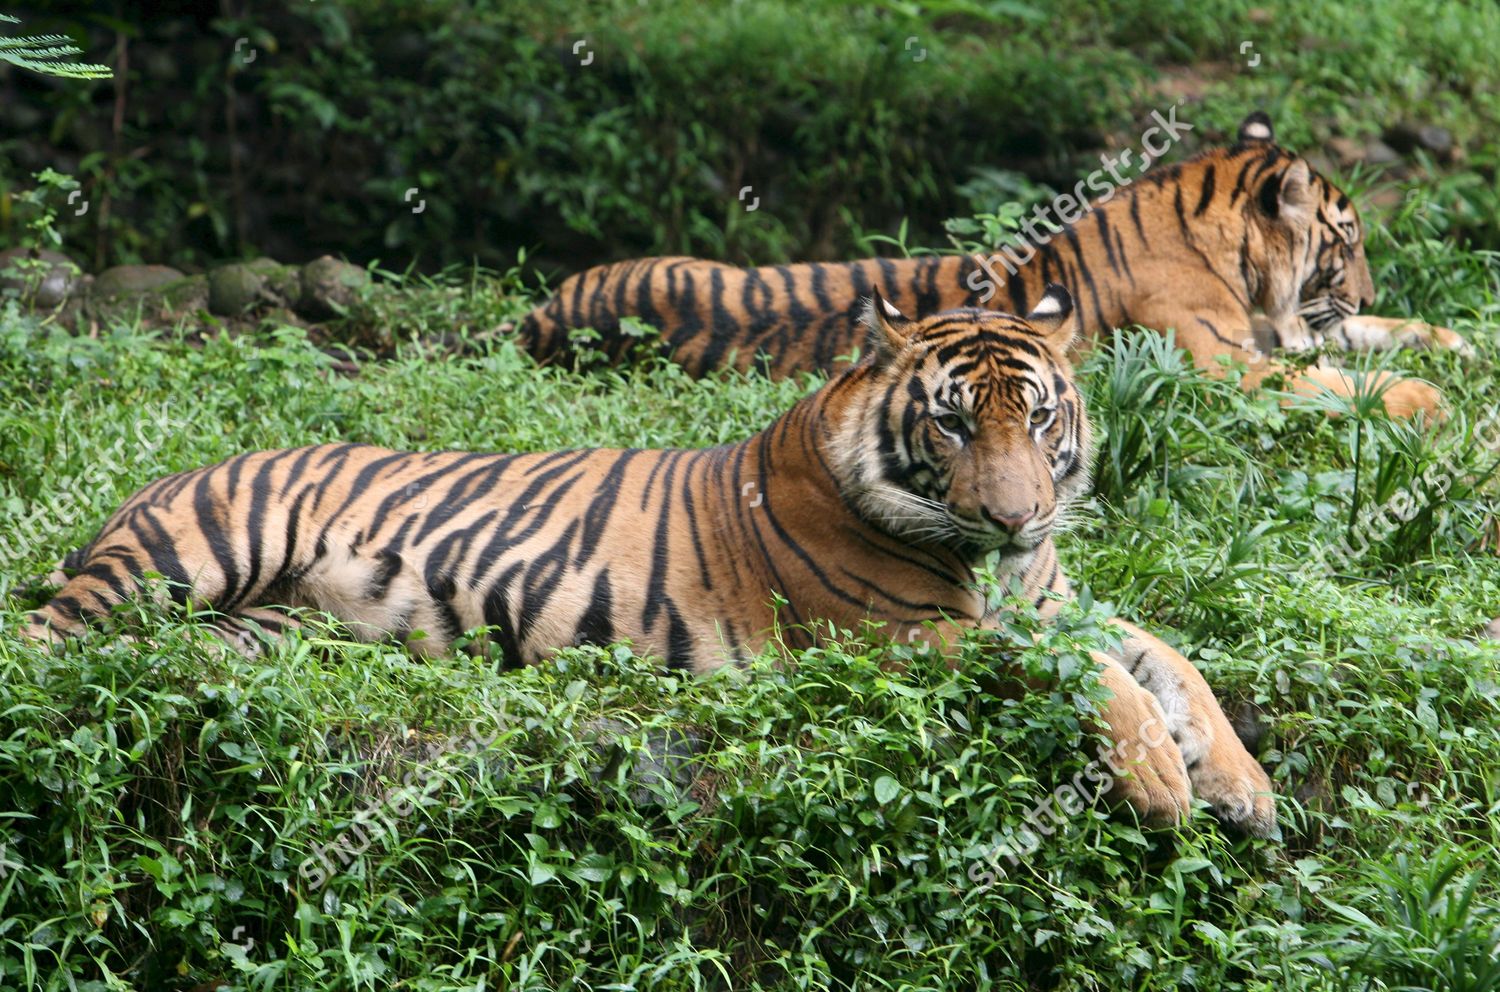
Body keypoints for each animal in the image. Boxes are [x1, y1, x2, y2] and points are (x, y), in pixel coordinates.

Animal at [24, 286, 1274, 835]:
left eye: (1038, 417)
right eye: (955, 423)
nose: (1017, 517)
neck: (1005, 574)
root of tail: (169, 474)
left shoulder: (1059, 603)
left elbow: (1170, 659)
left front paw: (1244, 787)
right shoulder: (910, 633)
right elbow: (1099, 678)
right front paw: (1164, 784)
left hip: (271, 624)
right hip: (191, 549)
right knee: (44, 637)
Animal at [517, 112, 1471, 420]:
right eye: (1348, 243)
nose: (1369, 282)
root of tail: (539, 317)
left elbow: (1363, 340)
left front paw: (1452, 342)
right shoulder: (1223, 364)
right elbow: (1339, 378)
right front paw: (1432, 401)